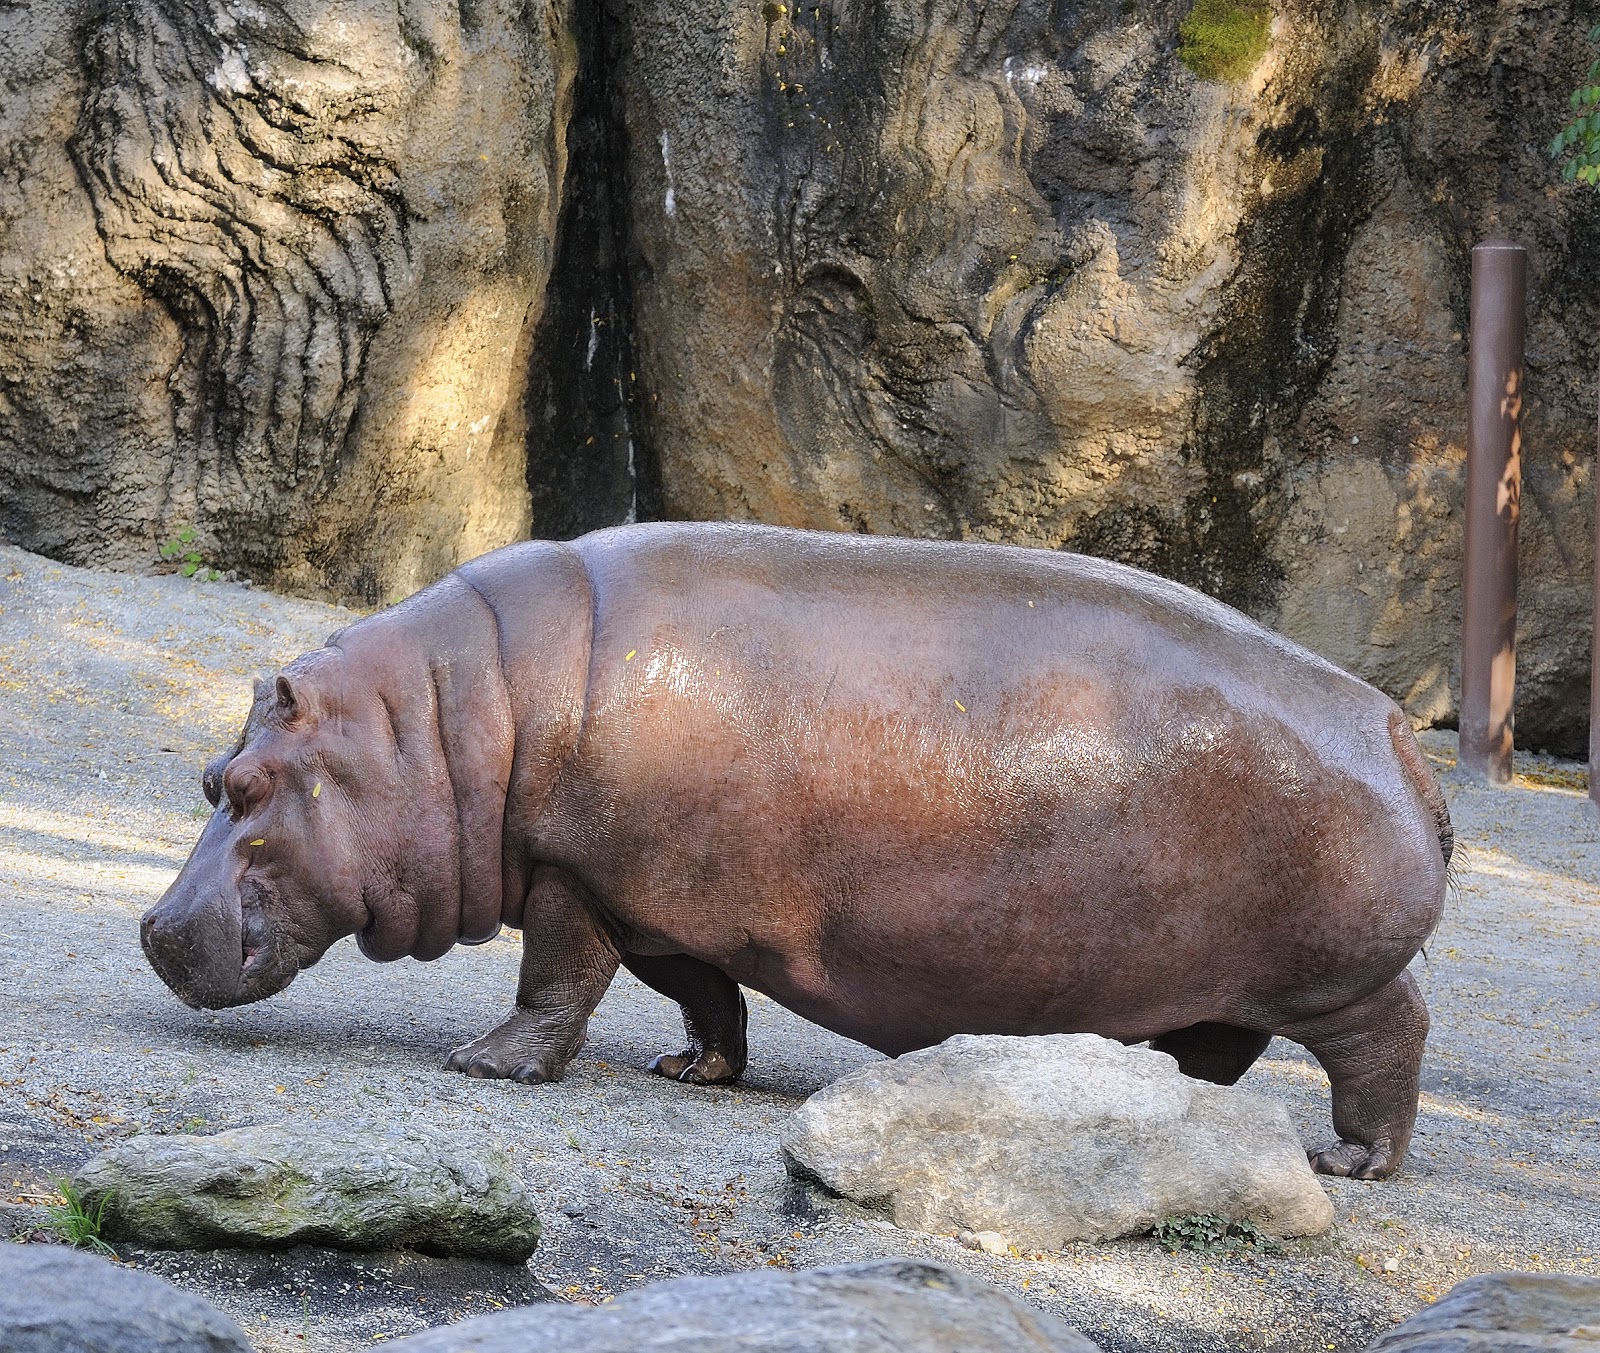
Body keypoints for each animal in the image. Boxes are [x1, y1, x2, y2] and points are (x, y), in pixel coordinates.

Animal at [141, 522, 1451, 1179]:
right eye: (210, 777)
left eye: (247, 786)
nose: (152, 930)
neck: (437, 722)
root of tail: (1395, 727)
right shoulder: (653, 895)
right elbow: (699, 992)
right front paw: (692, 1073)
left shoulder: (571, 875)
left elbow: (552, 980)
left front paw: (486, 1066)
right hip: (1214, 981)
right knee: (1218, 1050)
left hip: (1337, 977)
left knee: (1390, 1039)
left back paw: (1353, 1164)